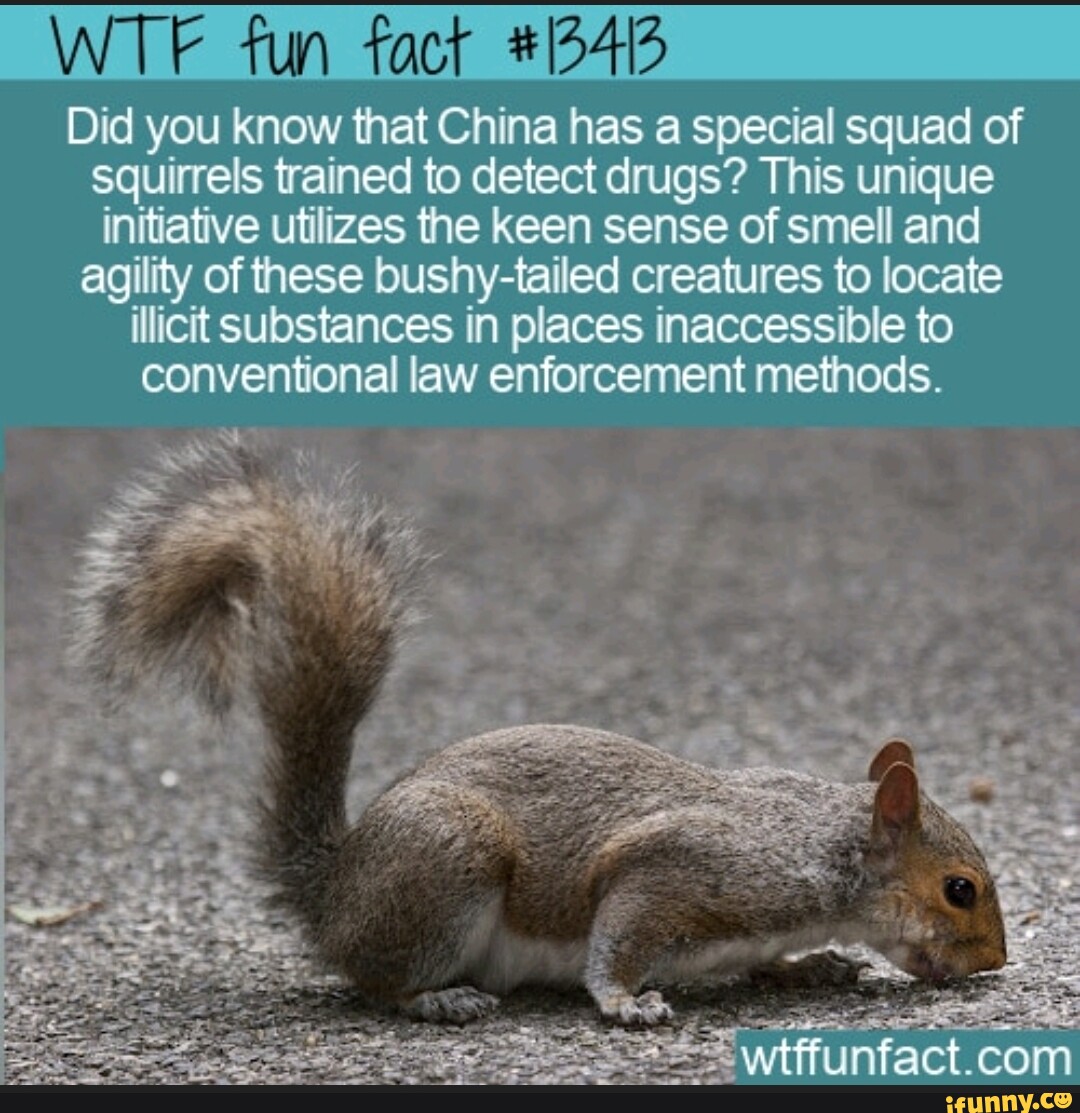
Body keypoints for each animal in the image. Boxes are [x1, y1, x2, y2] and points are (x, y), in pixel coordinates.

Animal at [70, 431, 1007, 1027]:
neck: (821, 848)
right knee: (373, 977)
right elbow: (620, 937)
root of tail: (334, 891)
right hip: (448, 861)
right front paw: (628, 1002)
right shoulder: (685, 870)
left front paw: (813, 964)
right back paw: (437, 998)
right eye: (959, 888)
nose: (995, 962)